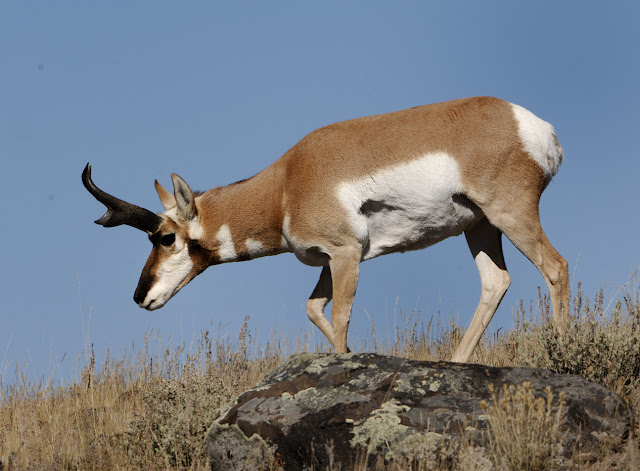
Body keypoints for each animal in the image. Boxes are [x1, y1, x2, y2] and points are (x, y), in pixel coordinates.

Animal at [82, 96, 569, 363]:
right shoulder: (326, 259)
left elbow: (338, 316)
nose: (140, 296)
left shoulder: (348, 253)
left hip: (510, 214)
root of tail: (534, 125)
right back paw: (458, 360)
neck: (286, 183)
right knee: (496, 281)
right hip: (480, 227)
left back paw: (562, 353)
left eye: (165, 237)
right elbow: (314, 308)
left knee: (556, 267)